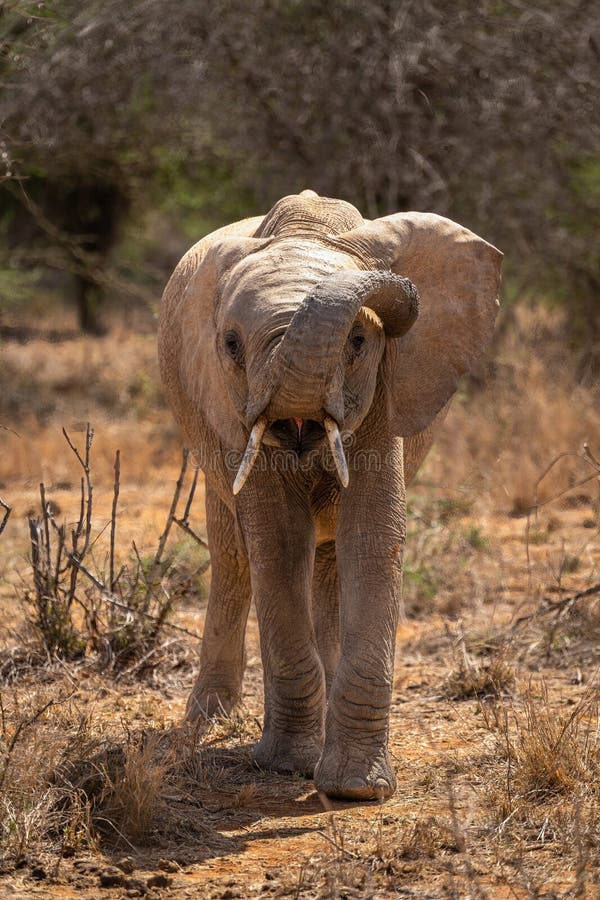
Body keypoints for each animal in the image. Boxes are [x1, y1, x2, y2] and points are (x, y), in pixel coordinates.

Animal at [158, 190, 502, 800]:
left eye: (360, 343)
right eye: (230, 345)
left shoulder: (387, 392)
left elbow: (371, 535)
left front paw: (354, 789)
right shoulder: (232, 411)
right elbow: (276, 541)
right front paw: (287, 766)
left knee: (327, 557)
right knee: (234, 556)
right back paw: (211, 720)